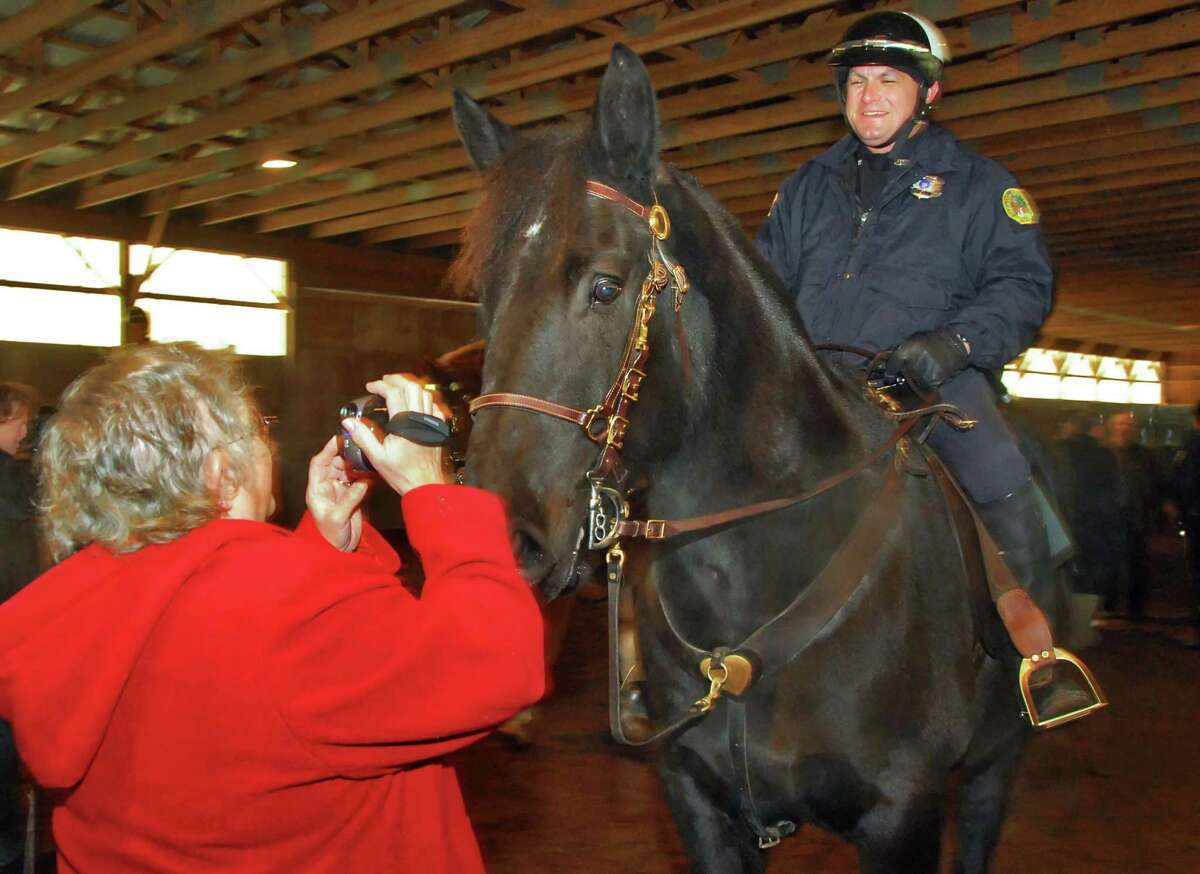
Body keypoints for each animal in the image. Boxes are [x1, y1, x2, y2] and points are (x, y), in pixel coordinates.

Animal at [451, 44, 1046, 873]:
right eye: (486, 295)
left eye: (605, 286)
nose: (500, 539)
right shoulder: (702, 805)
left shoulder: (904, 815)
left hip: (997, 765)